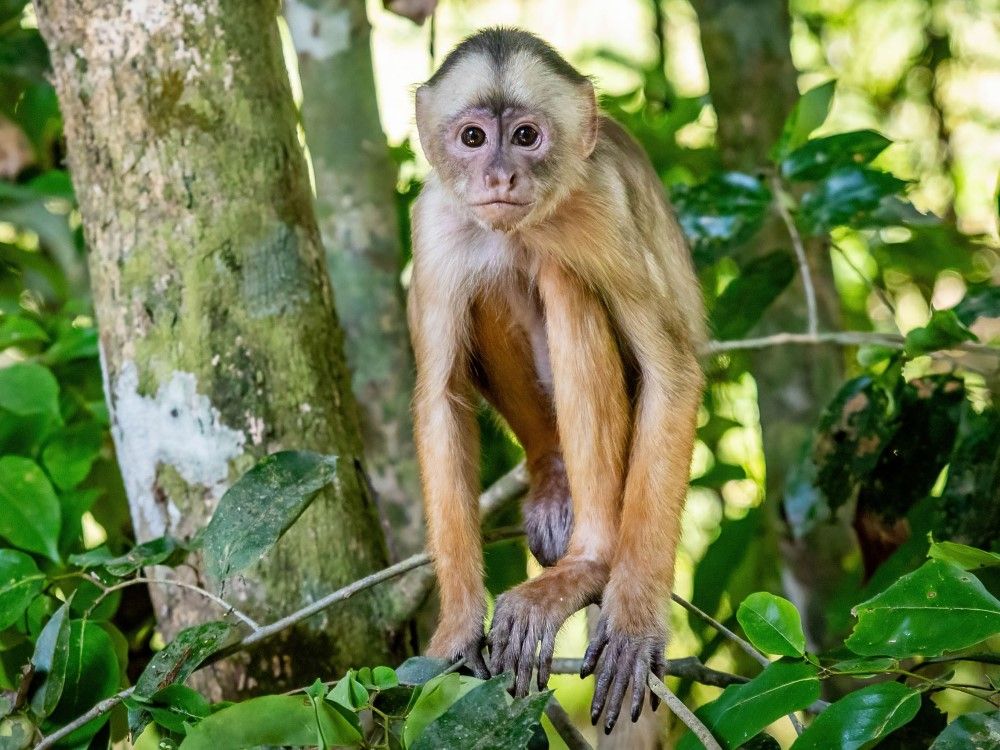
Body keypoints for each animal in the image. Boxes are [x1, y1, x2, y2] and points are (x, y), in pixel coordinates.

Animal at [408, 28, 706, 733]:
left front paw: (634, 621)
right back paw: (552, 475)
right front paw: (459, 624)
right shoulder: (436, 223)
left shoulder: (602, 212)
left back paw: (589, 566)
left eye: (525, 136)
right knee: (495, 273)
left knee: (563, 277)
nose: (498, 175)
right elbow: (440, 401)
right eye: (472, 137)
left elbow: (674, 374)